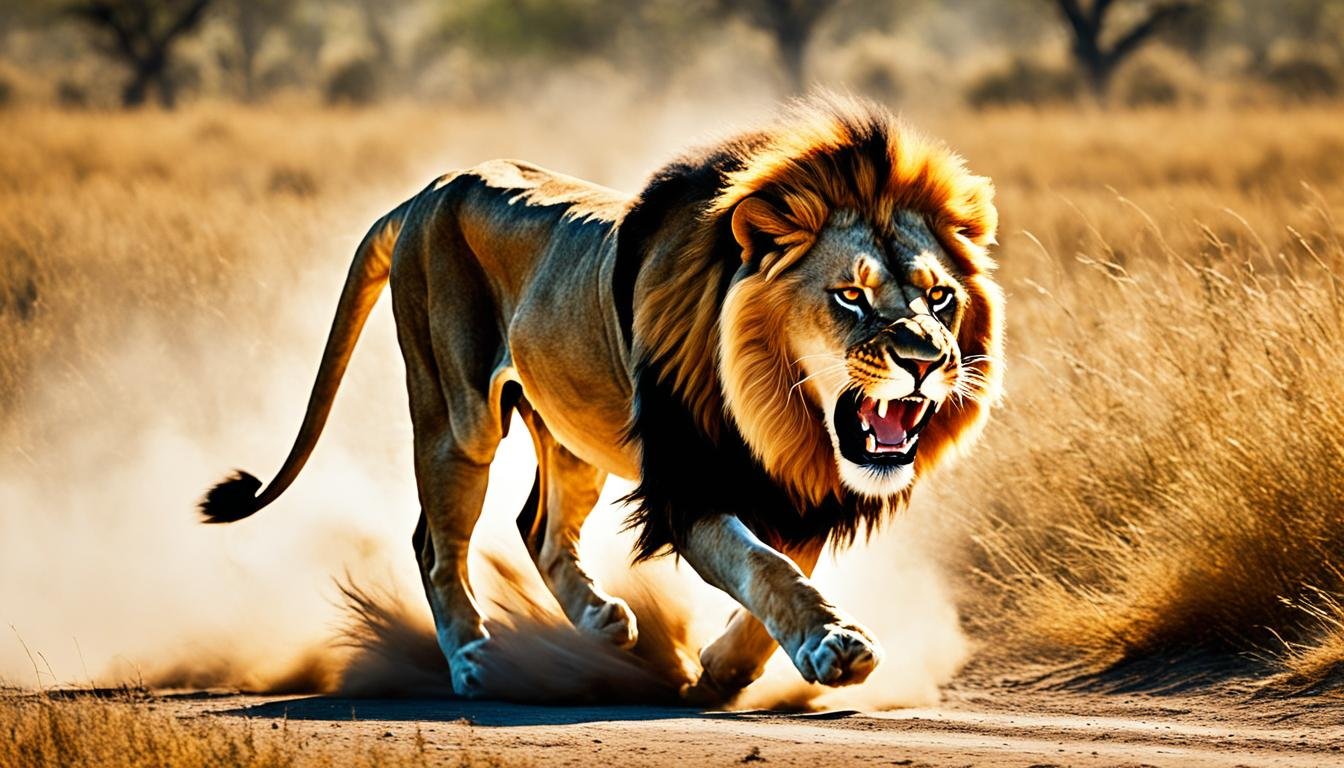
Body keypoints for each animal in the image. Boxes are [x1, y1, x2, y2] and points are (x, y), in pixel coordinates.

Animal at [199, 94, 1003, 700]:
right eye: (850, 296)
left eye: (939, 297)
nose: (927, 360)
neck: (783, 417)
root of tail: (431, 189)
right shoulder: (686, 486)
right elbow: (764, 568)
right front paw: (832, 641)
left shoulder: (801, 495)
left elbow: (780, 578)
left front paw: (724, 670)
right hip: (458, 418)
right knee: (436, 541)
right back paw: (475, 660)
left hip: (575, 431)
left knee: (539, 526)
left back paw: (603, 623)